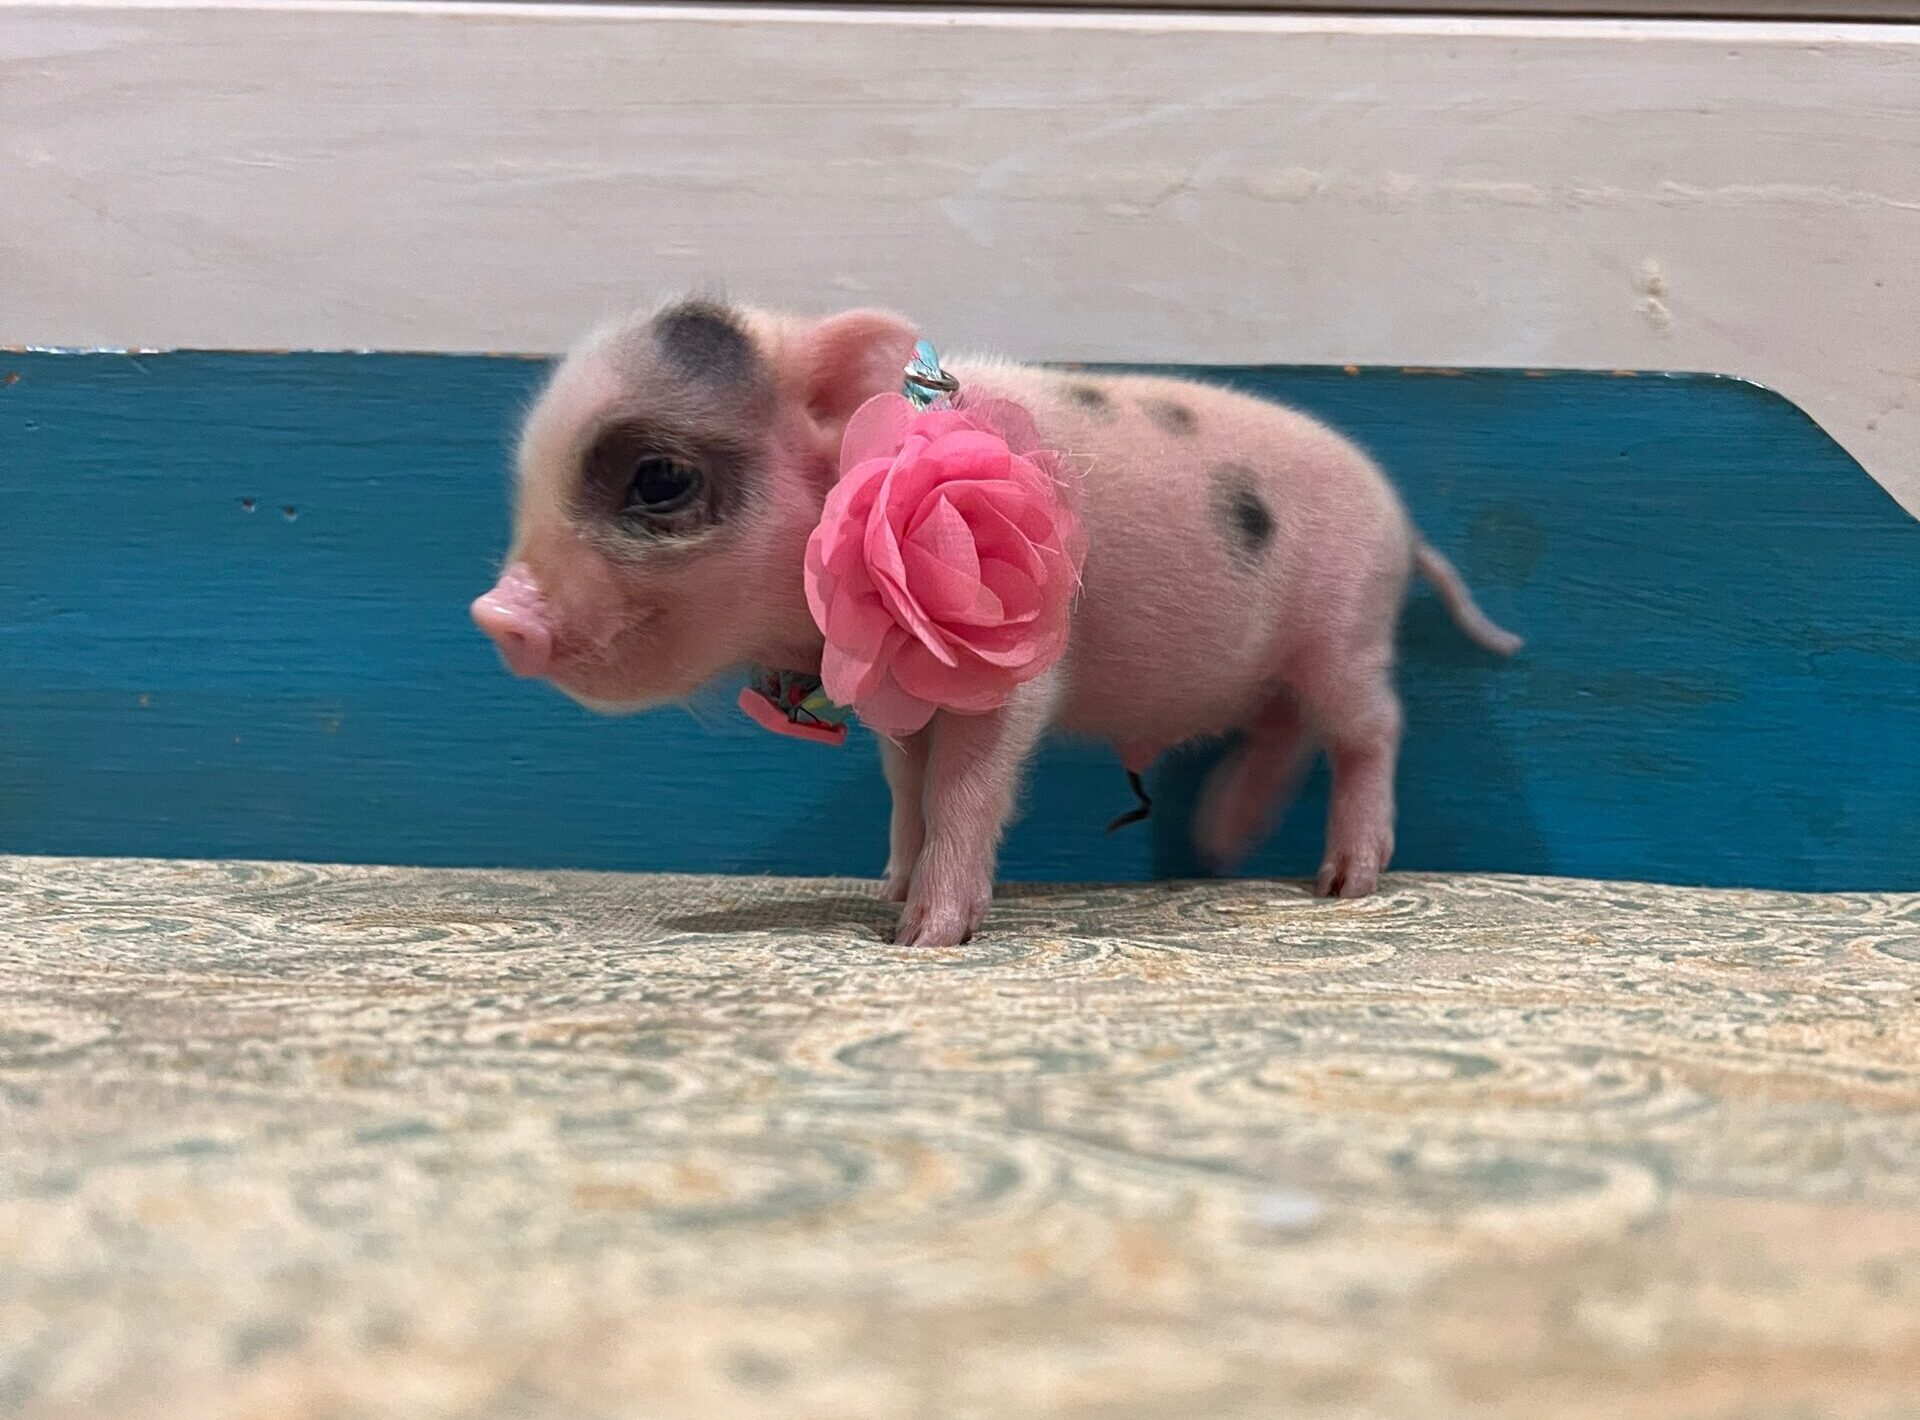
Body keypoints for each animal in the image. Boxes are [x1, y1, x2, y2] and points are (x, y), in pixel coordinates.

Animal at [472, 299, 1520, 947]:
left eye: (659, 479)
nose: (495, 614)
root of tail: (1404, 526)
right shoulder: (897, 693)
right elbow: (906, 783)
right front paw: (890, 889)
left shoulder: (1015, 669)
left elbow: (970, 784)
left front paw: (922, 937)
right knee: (1282, 728)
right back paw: (1221, 842)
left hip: (1344, 630)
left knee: (1370, 731)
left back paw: (1344, 883)